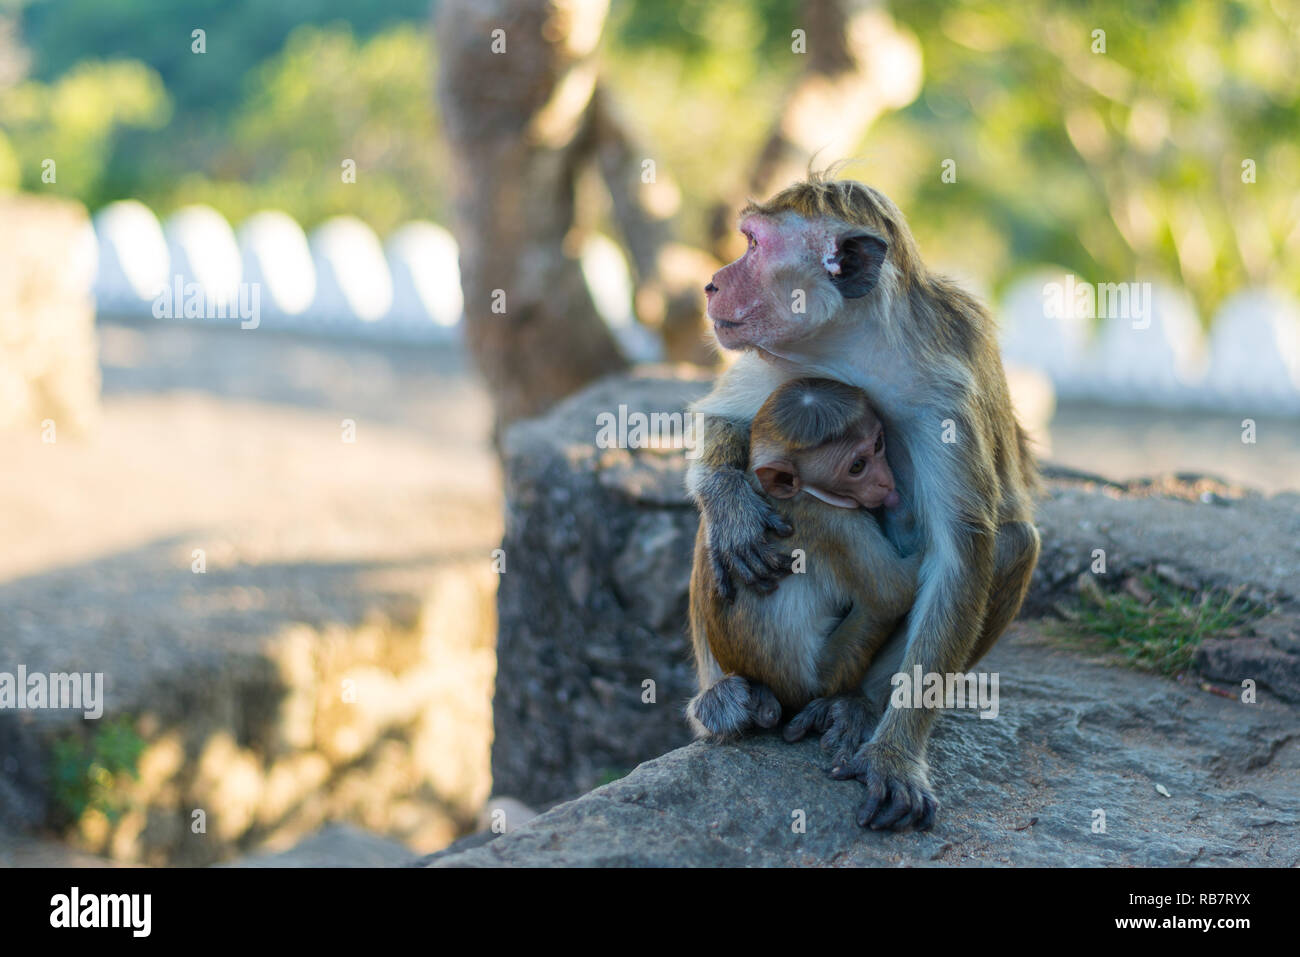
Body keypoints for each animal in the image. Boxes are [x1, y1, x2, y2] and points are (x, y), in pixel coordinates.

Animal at [686, 378, 921, 756]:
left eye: (878, 444)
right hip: (828, 672)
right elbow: (893, 593)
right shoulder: (835, 523)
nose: (886, 482)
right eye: (857, 466)